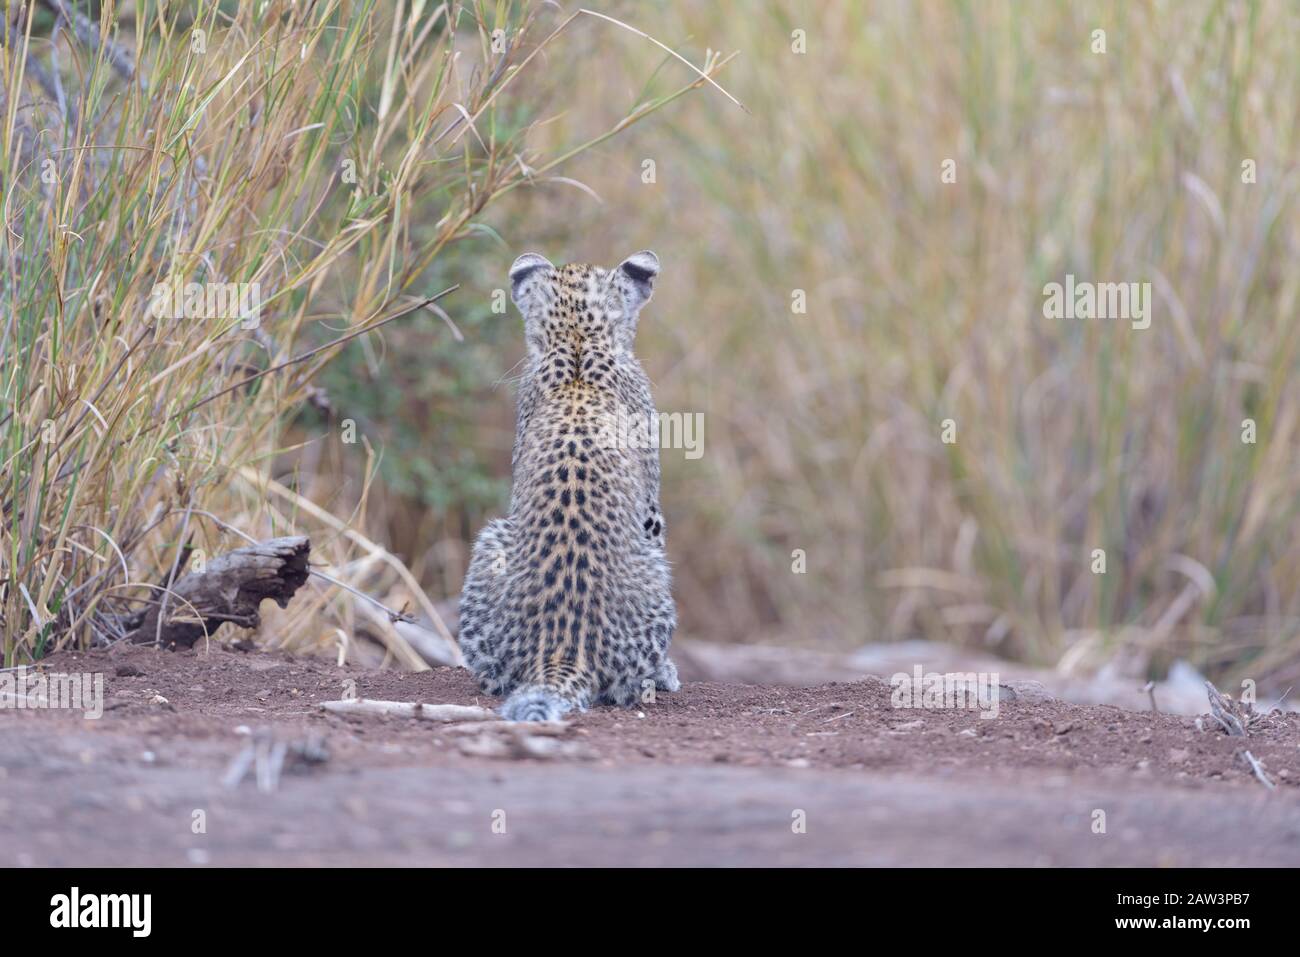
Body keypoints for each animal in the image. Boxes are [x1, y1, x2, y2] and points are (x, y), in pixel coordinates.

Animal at [458, 249, 679, 721]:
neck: (577, 343)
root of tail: (562, 648)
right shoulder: (650, 514)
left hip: (492, 542)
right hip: (649, 570)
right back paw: (661, 675)